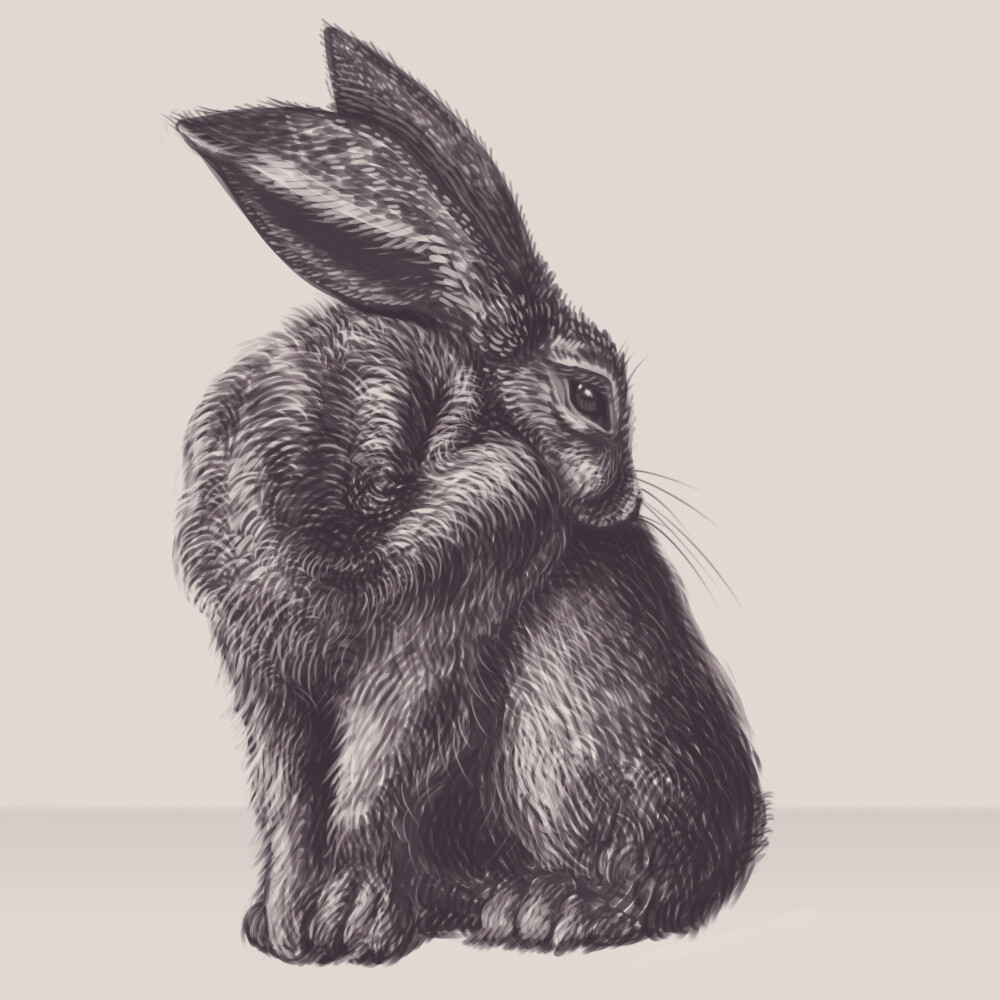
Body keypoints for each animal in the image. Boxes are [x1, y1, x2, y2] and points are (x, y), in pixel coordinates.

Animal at [174, 26, 768, 965]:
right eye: (591, 396)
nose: (622, 505)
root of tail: (736, 843)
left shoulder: (434, 637)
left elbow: (376, 772)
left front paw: (350, 921)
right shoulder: (263, 663)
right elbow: (287, 797)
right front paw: (283, 925)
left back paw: (545, 908)